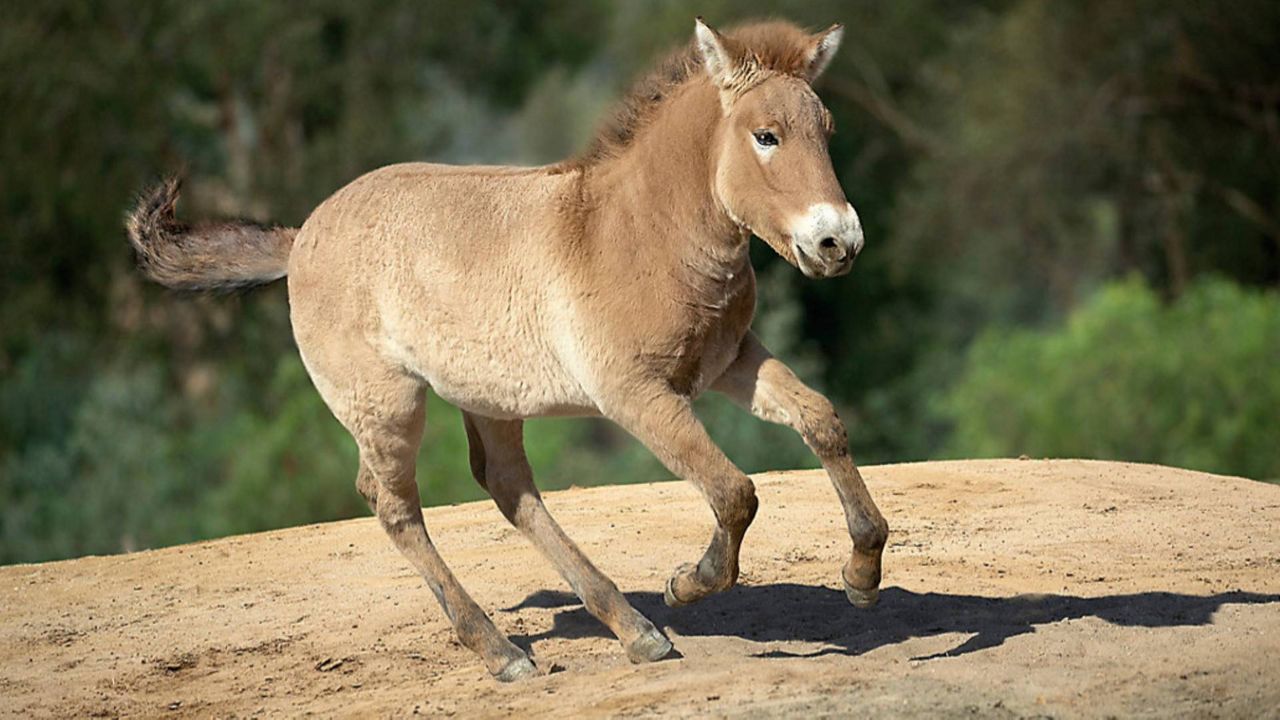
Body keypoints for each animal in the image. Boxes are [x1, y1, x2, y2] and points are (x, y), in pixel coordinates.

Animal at [126, 18, 888, 681]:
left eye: (826, 131)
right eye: (766, 135)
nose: (838, 243)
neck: (641, 232)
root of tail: (301, 237)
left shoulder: (729, 362)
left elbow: (821, 420)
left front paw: (863, 573)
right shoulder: (638, 397)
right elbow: (734, 492)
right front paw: (687, 584)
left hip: (488, 398)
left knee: (507, 488)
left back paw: (634, 631)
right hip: (388, 403)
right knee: (393, 504)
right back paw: (503, 652)